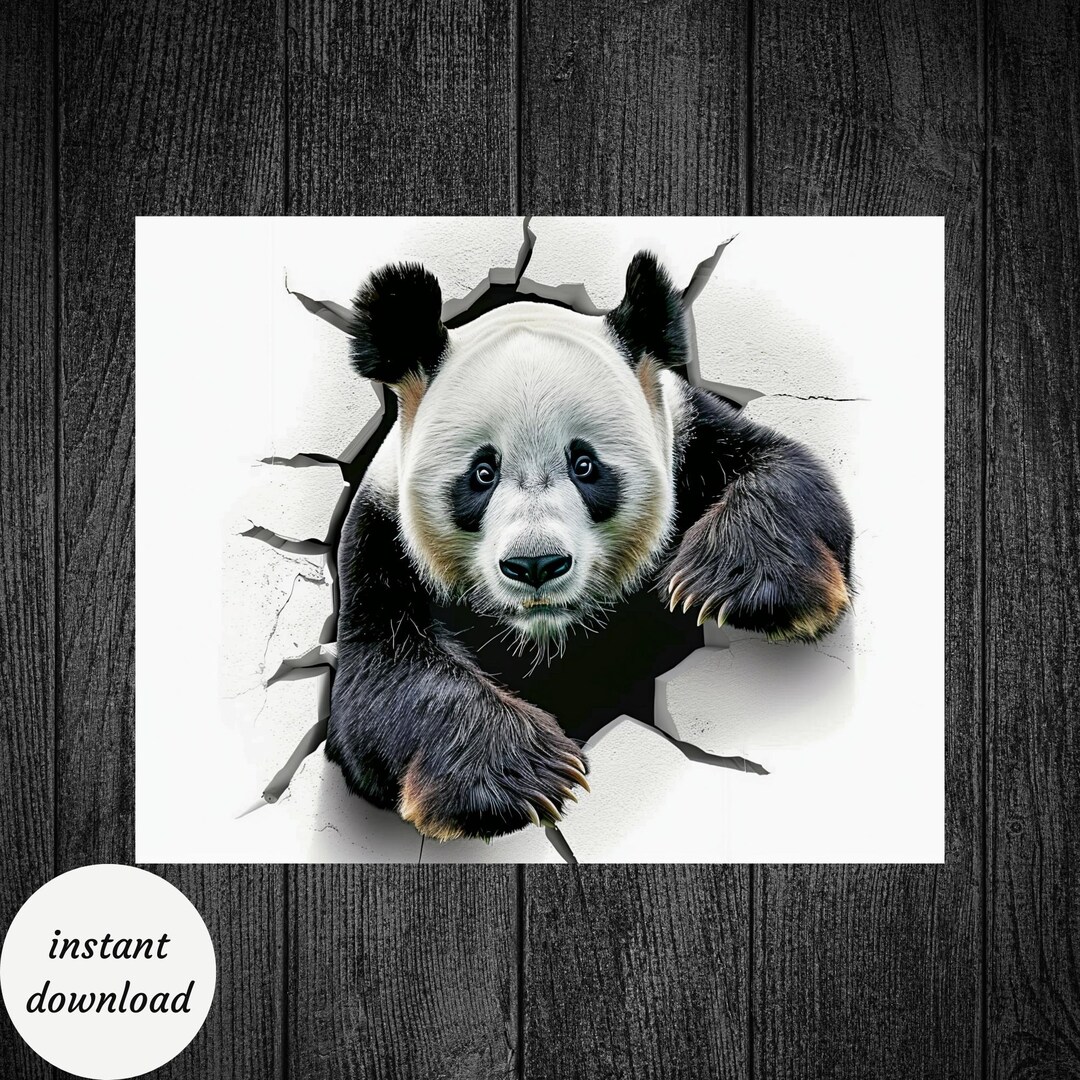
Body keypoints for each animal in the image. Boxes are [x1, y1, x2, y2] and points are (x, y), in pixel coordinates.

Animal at [325, 252, 853, 842]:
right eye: (482, 473)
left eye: (584, 465)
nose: (536, 565)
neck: (548, 638)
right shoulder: (378, 544)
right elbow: (383, 680)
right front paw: (525, 776)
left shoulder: (691, 435)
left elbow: (789, 472)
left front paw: (724, 582)